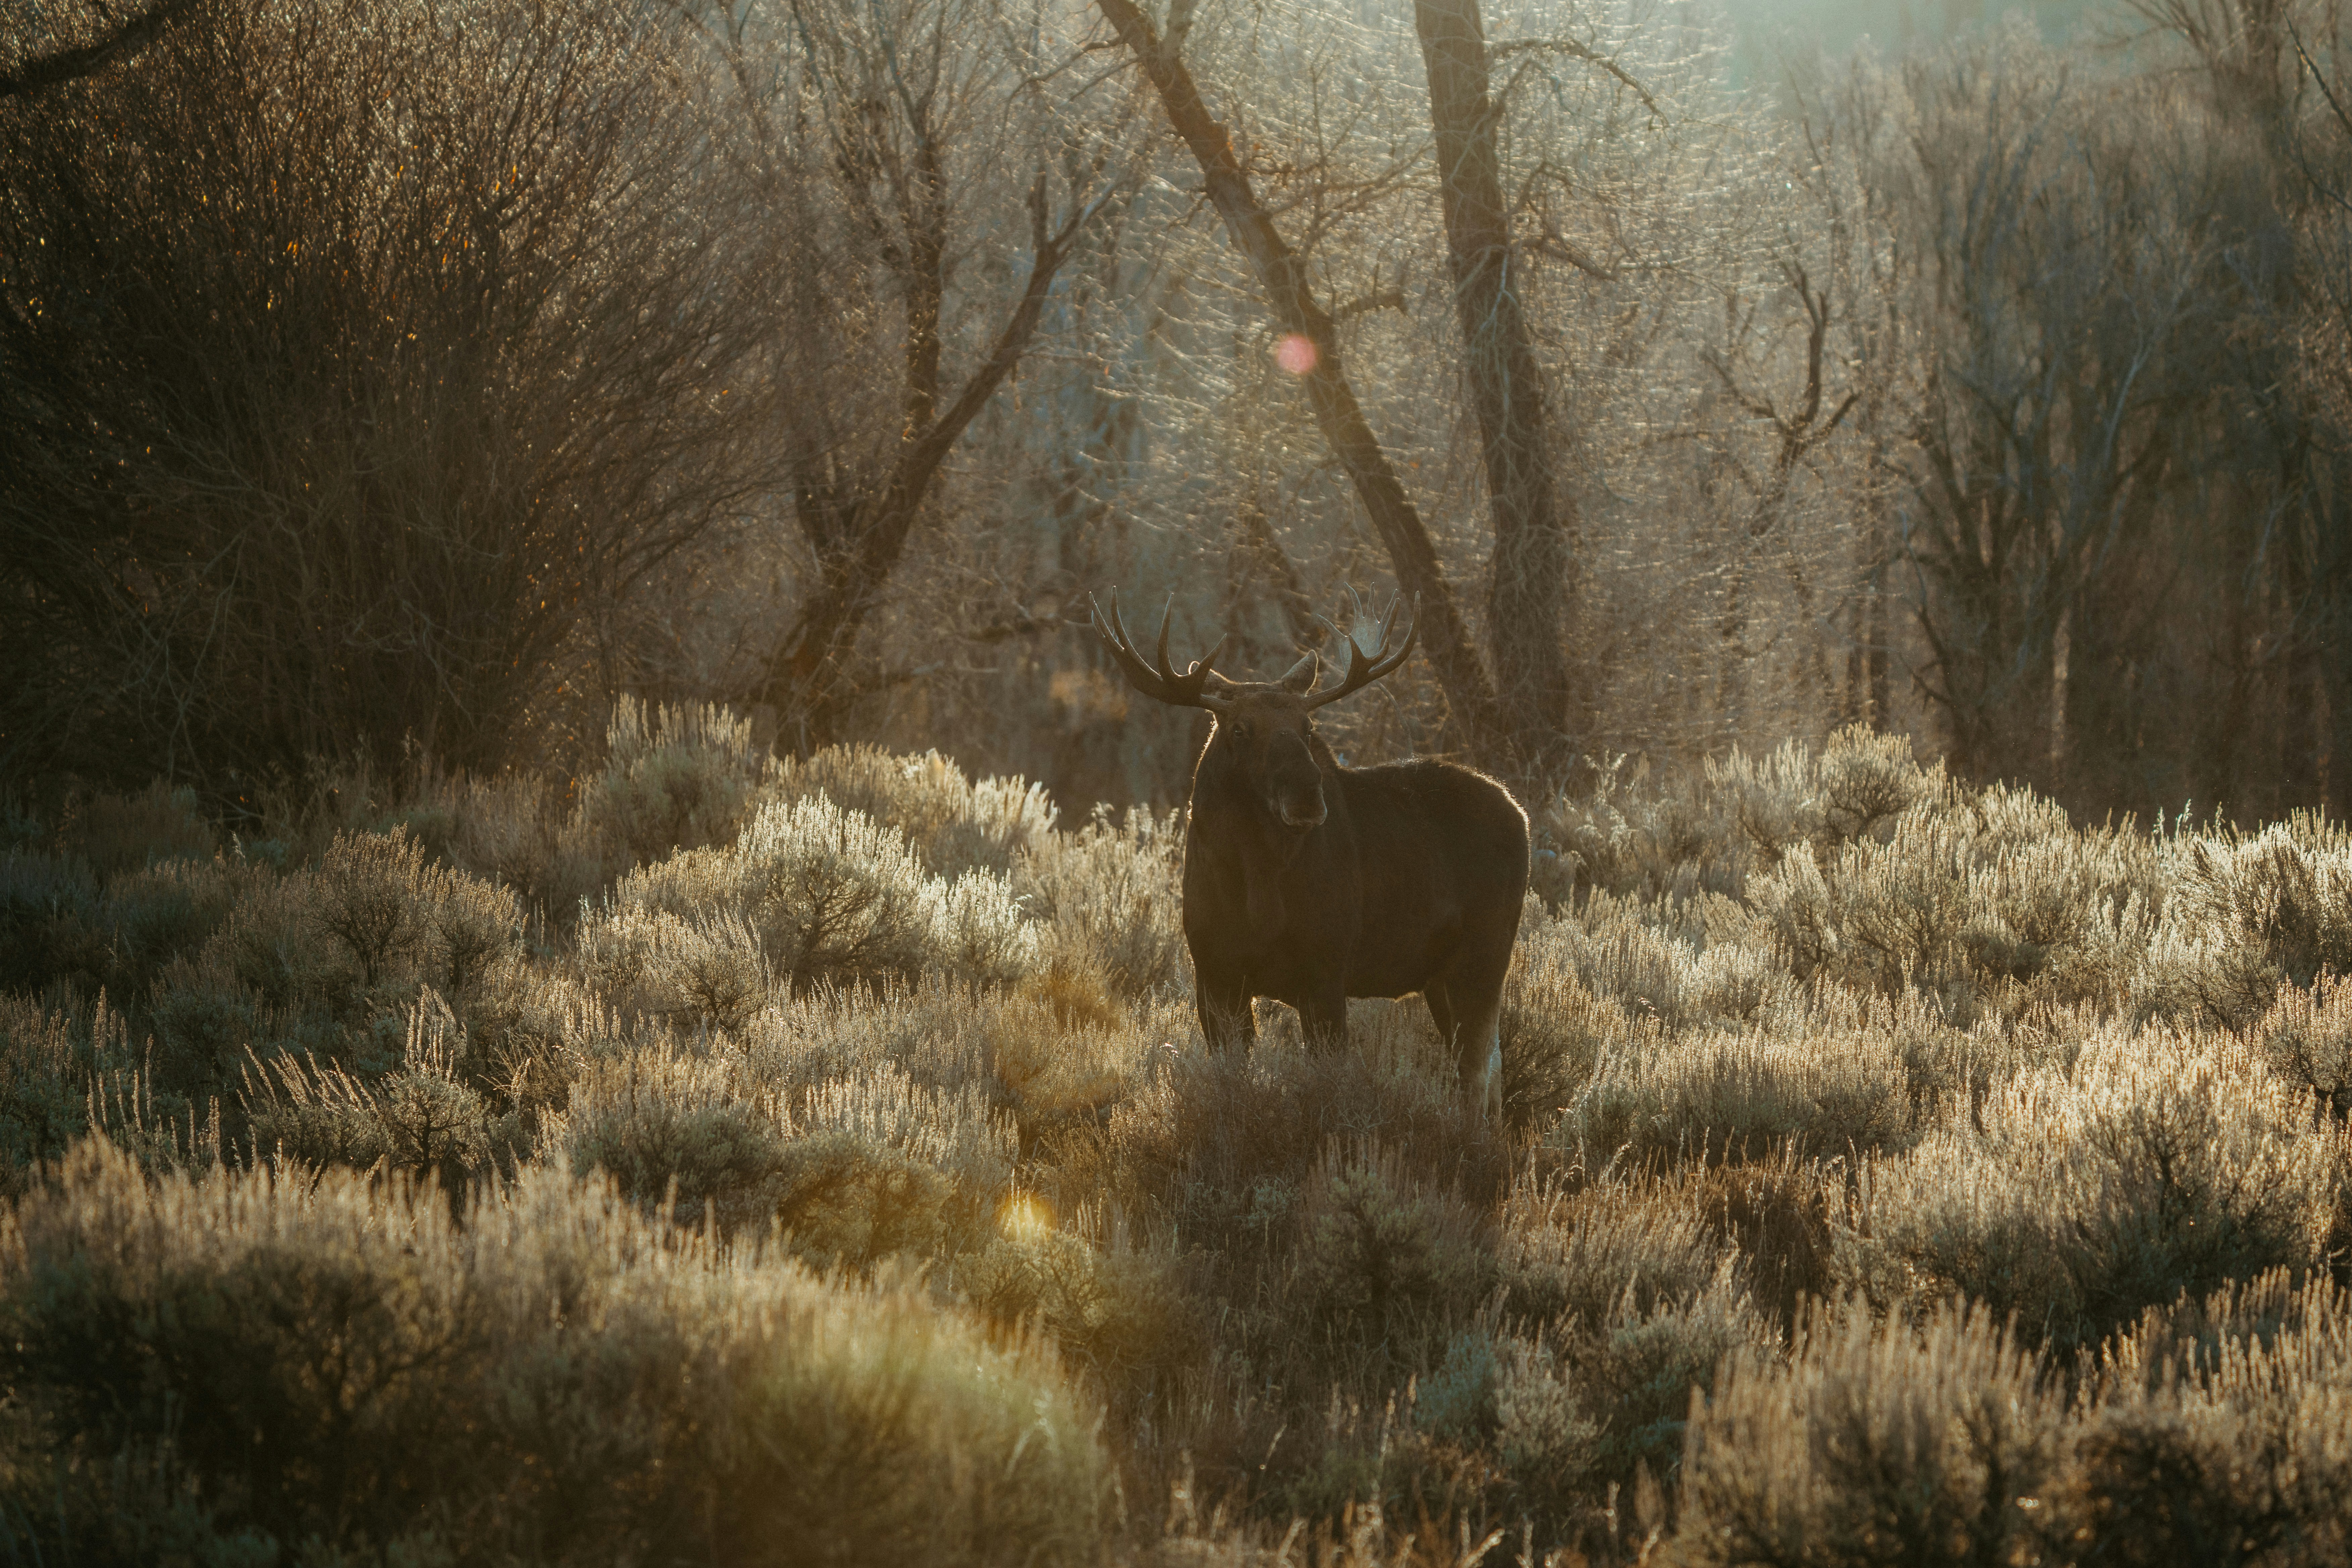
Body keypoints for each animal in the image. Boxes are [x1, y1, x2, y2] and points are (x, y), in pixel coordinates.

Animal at [1092, 587, 1529, 1118]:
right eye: (1239, 729)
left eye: (1306, 725)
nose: (1306, 794)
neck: (1254, 885)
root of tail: (1520, 812)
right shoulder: (1215, 976)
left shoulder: (1326, 970)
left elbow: (1328, 1080)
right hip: (1439, 977)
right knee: (1485, 1070)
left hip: (1484, 956)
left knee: (1479, 1075)